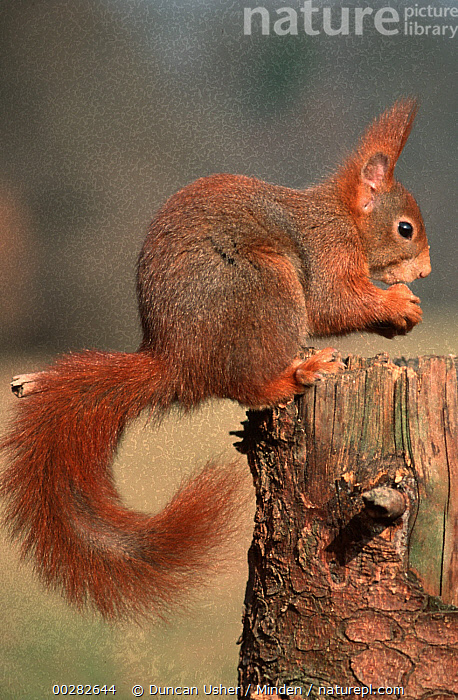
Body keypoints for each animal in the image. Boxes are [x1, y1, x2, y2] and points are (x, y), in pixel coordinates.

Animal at [0, 98, 431, 621]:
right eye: (405, 229)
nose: (426, 272)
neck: (342, 217)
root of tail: (177, 361)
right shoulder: (329, 251)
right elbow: (334, 304)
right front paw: (398, 305)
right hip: (264, 287)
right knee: (248, 385)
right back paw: (298, 374)